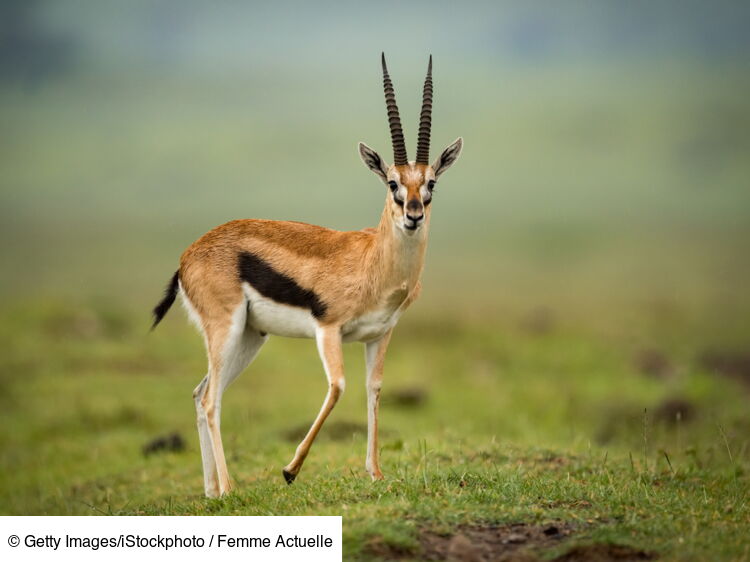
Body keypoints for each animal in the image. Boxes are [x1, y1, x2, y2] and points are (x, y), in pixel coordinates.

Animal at [151, 54, 462, 497]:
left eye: (431, 182)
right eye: (393, 183)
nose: (414, 215)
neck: (373, 263)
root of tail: (189, 255)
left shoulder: (380, 334)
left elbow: (374, 389)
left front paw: (376, 473)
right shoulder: (328, 329)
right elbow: (338, 387)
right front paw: (290, 470)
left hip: (250, 337)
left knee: (200, 393)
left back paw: (212, 490)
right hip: (226, 329)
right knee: (211, 400)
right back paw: (228, 488)